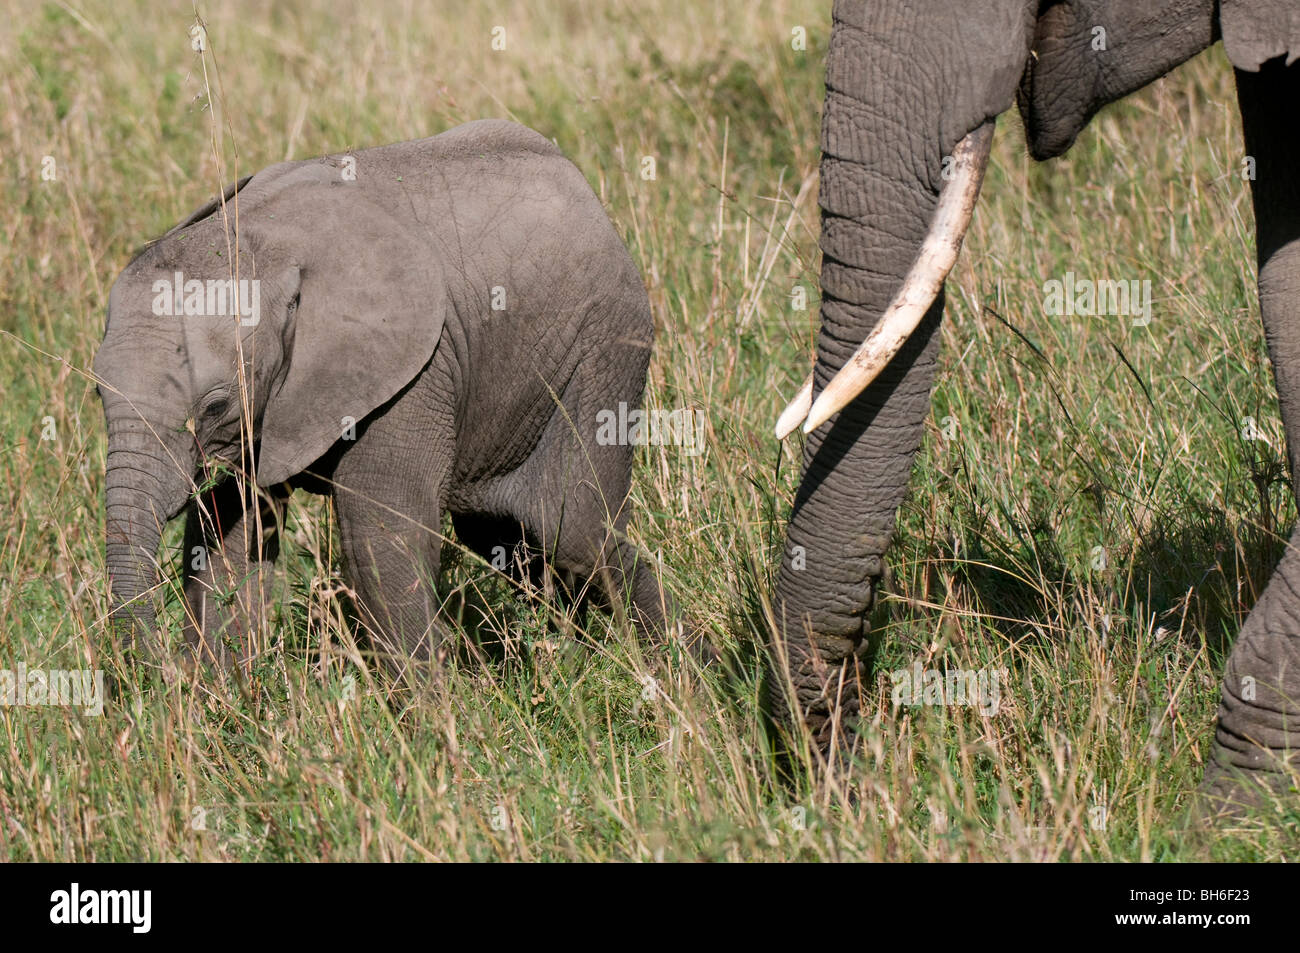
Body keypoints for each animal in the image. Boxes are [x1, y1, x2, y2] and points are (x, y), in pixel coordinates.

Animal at [94, 118, 699, 682]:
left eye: (216, 405)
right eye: (97, 390)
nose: (158, 671)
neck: (261, 242)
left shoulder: (413, 368)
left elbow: (379, 534)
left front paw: (439, 715)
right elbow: (228, 533)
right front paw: (218, 699)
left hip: (604, 345)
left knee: (572, 530)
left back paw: (692, 674)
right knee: (509, 536)